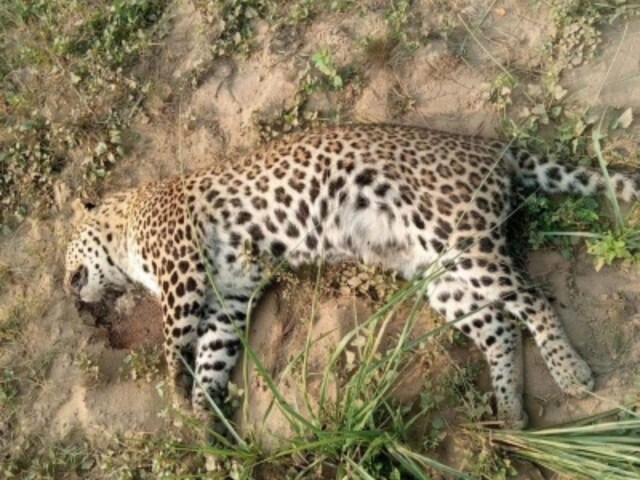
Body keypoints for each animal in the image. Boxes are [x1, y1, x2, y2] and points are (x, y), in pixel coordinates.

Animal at [64, 123, 640, 432]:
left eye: (64, 256)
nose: (72, 295)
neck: (127, 220)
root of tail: (493, 149)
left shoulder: (180, 268)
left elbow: (172, 340)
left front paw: (178, 394)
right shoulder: (229, 294)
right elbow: (213, 354)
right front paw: (208, 423)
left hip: (460, 240)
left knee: (534, 299)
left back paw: (570, 372)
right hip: (437, 271)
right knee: (499, 327)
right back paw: (511, 409)